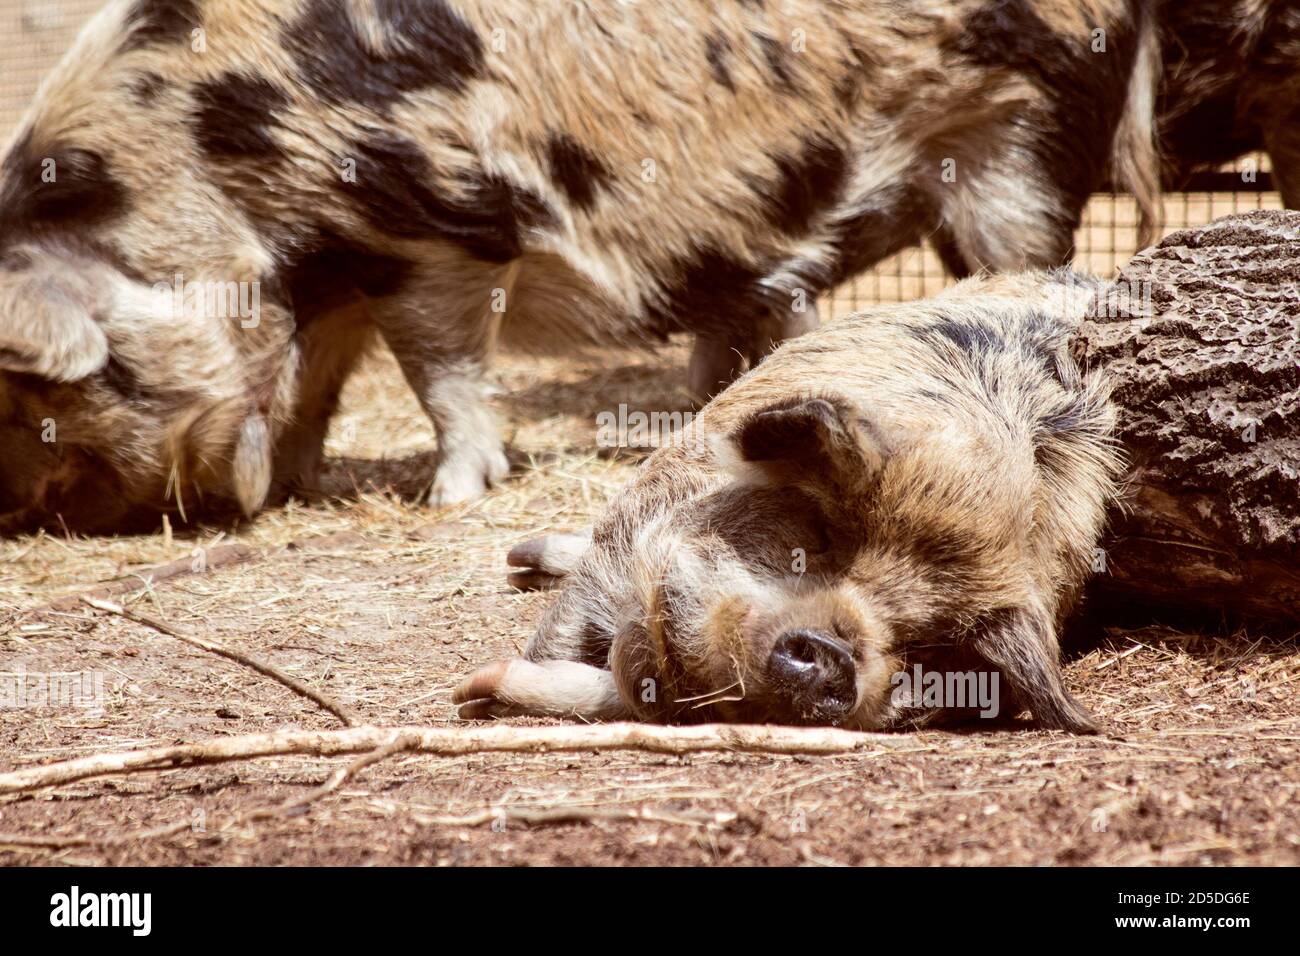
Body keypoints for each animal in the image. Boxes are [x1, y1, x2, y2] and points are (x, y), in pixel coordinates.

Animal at [0, 0, 1157, 533]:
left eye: (98, 372)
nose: (53, 508)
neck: (211, 143)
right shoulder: (336, 262)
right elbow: (318, 374)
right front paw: (290, 484)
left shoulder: (445, 224)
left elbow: (439, 370)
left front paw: (451, 497)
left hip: (1020, 128)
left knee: (1023, 258)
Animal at [454, 271, 1122, 732]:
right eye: (821, 534)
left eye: (930, 641)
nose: (836, 658)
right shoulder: (624, 539)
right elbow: (560, 637)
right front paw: (469, 698)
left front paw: (482, 687)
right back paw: (522, 559)